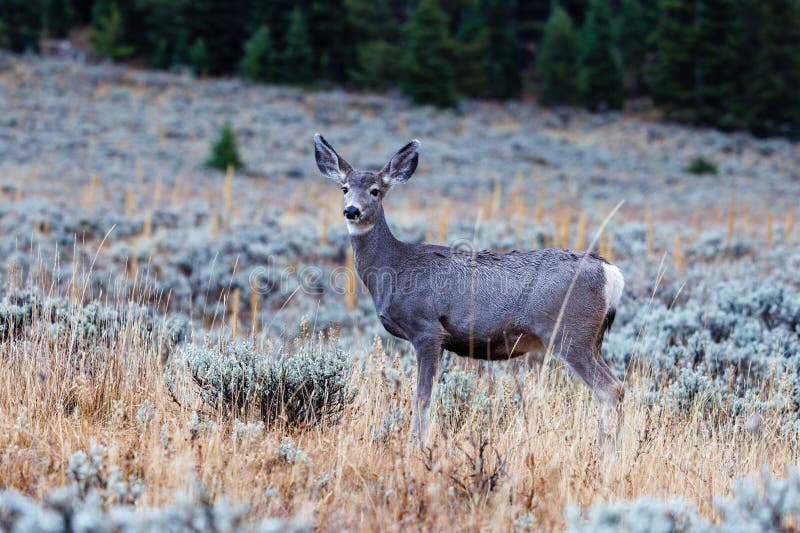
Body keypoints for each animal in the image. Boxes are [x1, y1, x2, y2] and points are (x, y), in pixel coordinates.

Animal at [314, 134, 625, 453]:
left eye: (375, 191)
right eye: (344, 188)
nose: (352, 210)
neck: (395, 268)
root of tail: (611, 273)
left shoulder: (427, 329)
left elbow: (422, 396)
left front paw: (416, 447)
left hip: (569, 332)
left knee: (609, 388)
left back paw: (606, 454)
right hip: (592, 338)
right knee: (619, 386)